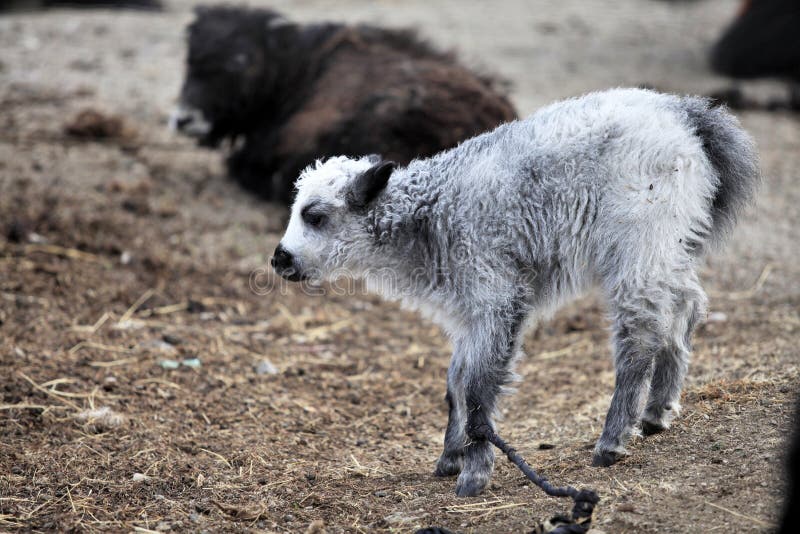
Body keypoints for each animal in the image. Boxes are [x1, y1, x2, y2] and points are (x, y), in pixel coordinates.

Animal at [271, 88, 760, 496]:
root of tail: (686, 115)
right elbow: (456, 382)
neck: (430, 215)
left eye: (314, 215)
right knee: (686, 306)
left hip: (638, 245)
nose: (280, 259)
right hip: (668, 247)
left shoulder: (497, 298)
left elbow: (478, 388)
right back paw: (658, 412)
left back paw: (612, 440)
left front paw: (474, 475)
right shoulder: (469, 315)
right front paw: (450, 458)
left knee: (639, 335)